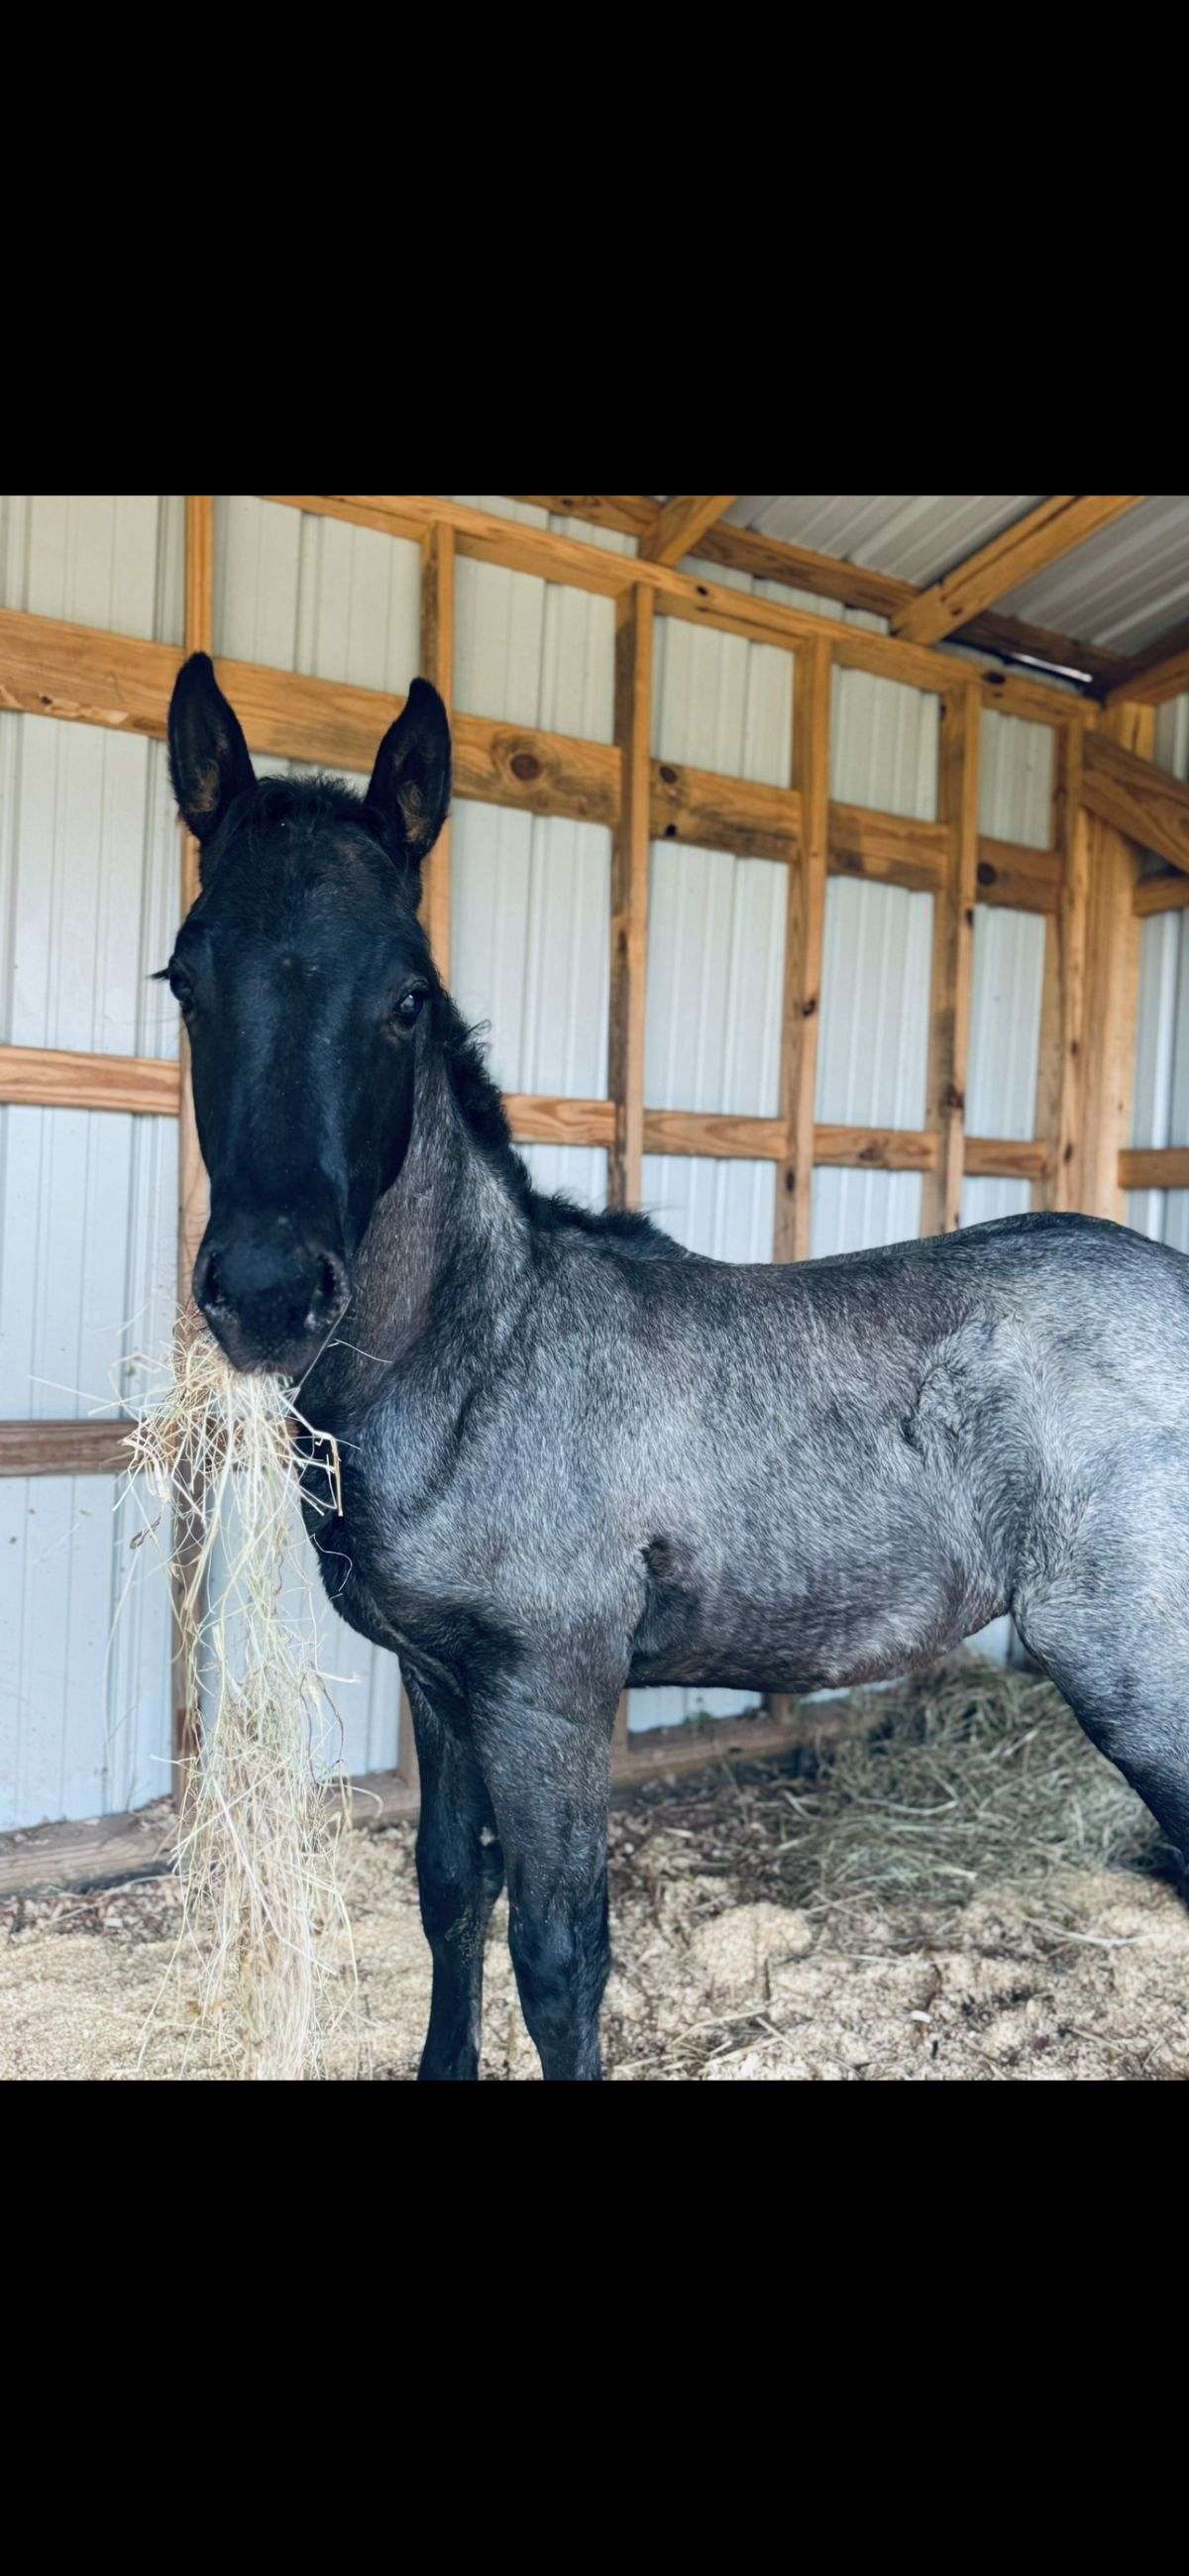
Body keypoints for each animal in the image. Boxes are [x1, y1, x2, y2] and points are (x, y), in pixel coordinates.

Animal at [164, 649, 1189, 2080]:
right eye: (185, 980)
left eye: (405, 998)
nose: (265, 1290)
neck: (479, 1352)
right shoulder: (442, 1682)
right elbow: (450, 1889)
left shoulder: (550, 1689)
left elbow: (559, 1957)